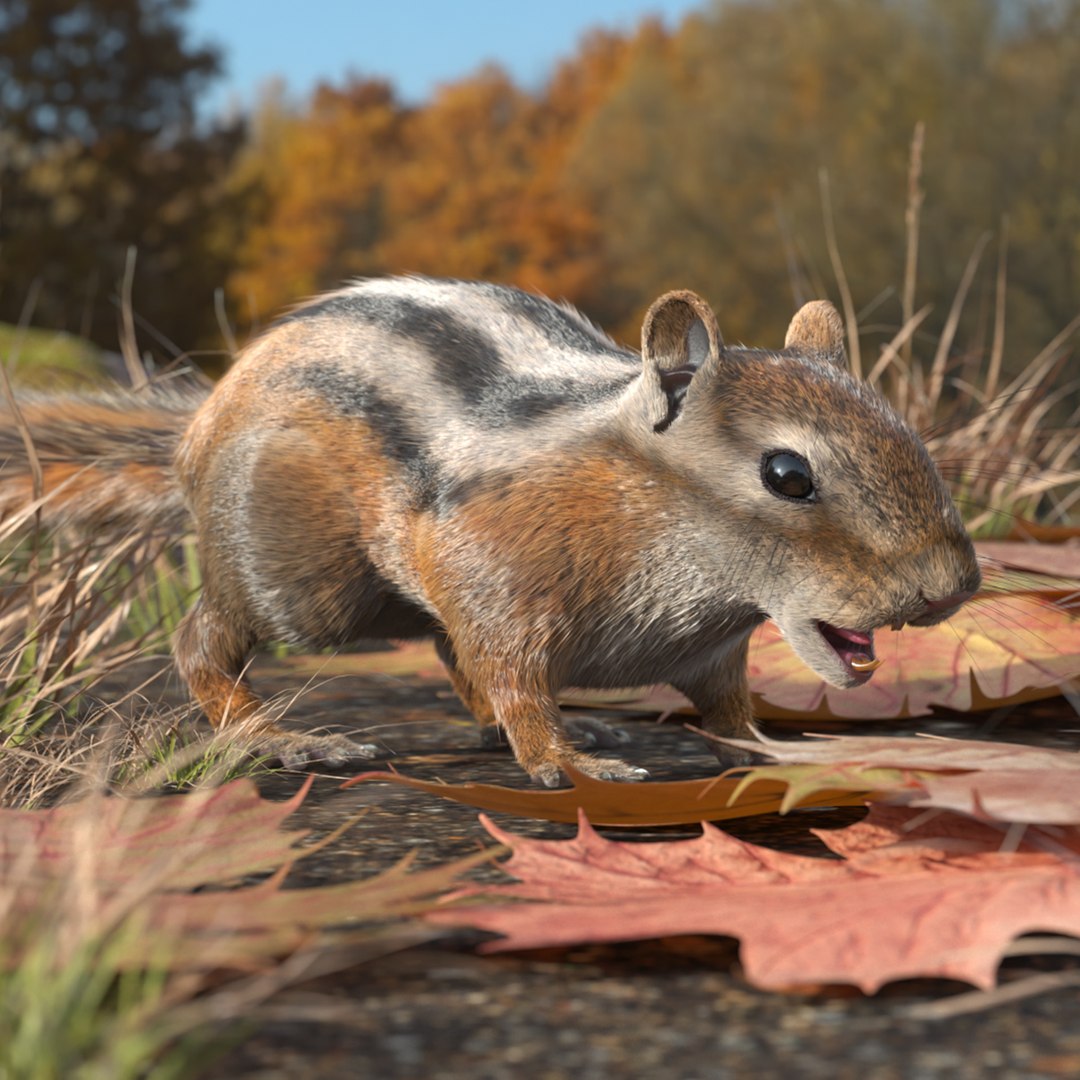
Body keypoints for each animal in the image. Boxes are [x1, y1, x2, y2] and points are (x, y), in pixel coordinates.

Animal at [0, 277, 981, 785]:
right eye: (788, 476)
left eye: (906, 430)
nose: (952, 587)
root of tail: (196, 429)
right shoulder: (502, 587)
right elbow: (515, 681)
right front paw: (562, 760)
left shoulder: (711, 651)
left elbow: (730, 711)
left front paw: (778, 746)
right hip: (301, 584)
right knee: (202, 641)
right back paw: (276, 737)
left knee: (443, 650)